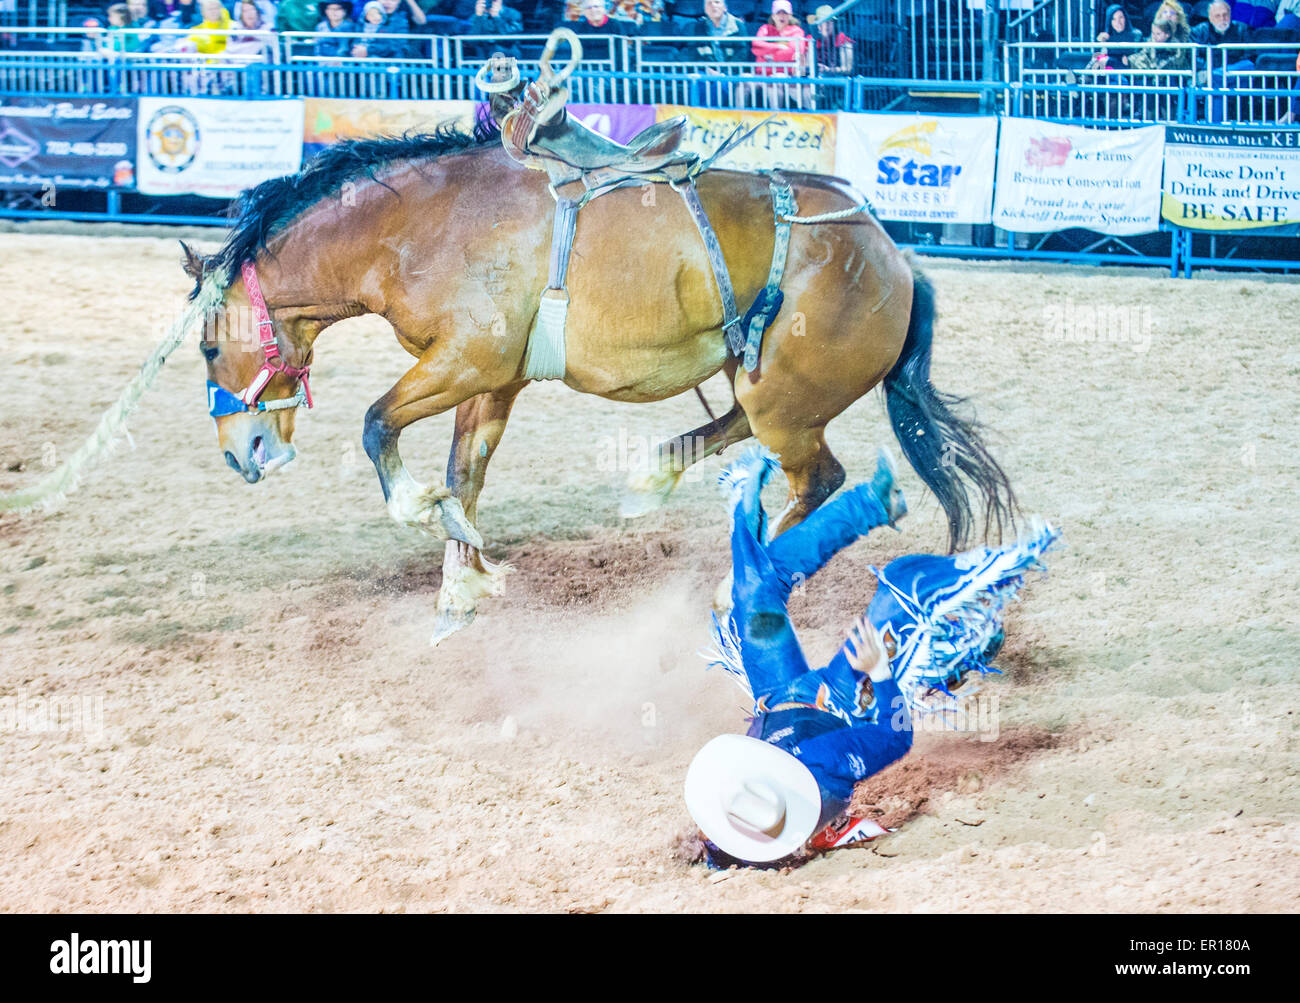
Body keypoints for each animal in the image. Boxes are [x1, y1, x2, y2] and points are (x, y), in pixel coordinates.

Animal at [185, 117, 1015, 644]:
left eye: (206, 347)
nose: (236, 451)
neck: (421, 227)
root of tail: (895, 255)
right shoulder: (490, 380)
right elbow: (464, 477)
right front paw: (460, 586)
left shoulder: (469, 361)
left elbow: (378, 425)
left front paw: (420, 512)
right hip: (757, 377)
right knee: (743, 430)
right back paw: (656, 474)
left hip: (785, 402)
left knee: (819, 478)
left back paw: (739, 585)